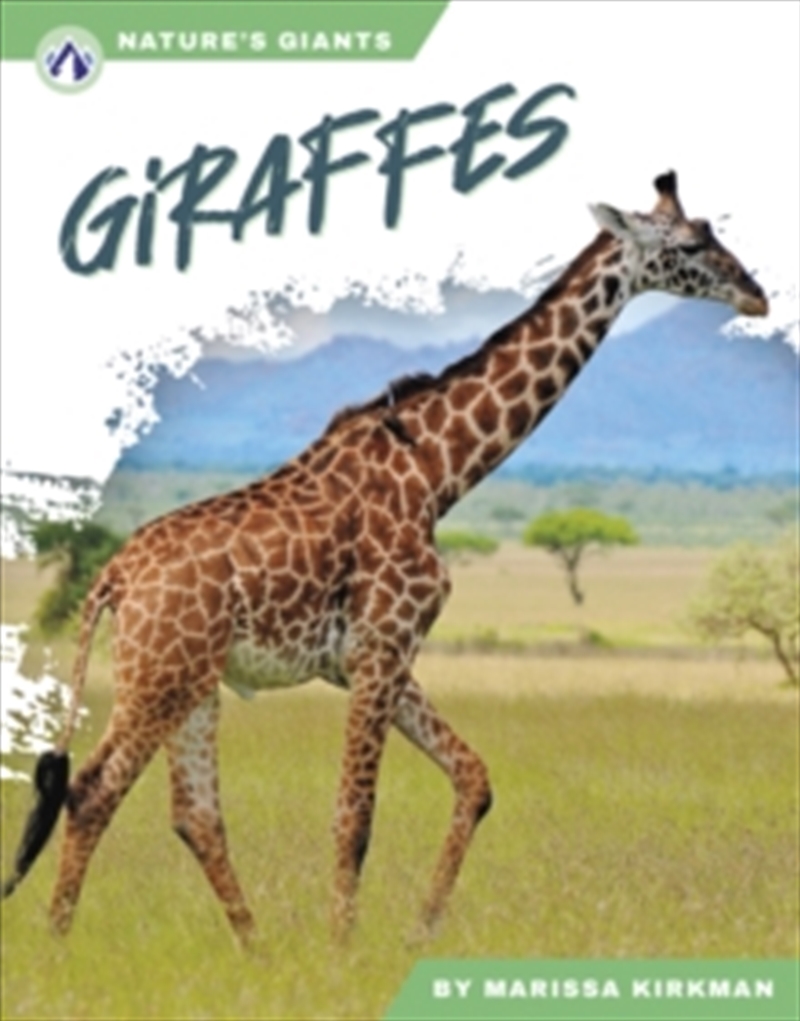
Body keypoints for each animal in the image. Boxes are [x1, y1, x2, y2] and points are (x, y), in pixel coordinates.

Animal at [3, 172, 768, 946]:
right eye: (689, 245)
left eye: (710, 229)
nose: (756, 294)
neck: (437, 471)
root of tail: (113, 577)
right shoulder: (382, 645)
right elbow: (354, 818)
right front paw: (343, 951)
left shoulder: (375, 657)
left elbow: (474, 777)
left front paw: (420, 929)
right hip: (160, 673)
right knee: (93, 790)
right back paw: (60, 945)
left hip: (193, 681)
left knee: (195, 815)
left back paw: (258, 951)